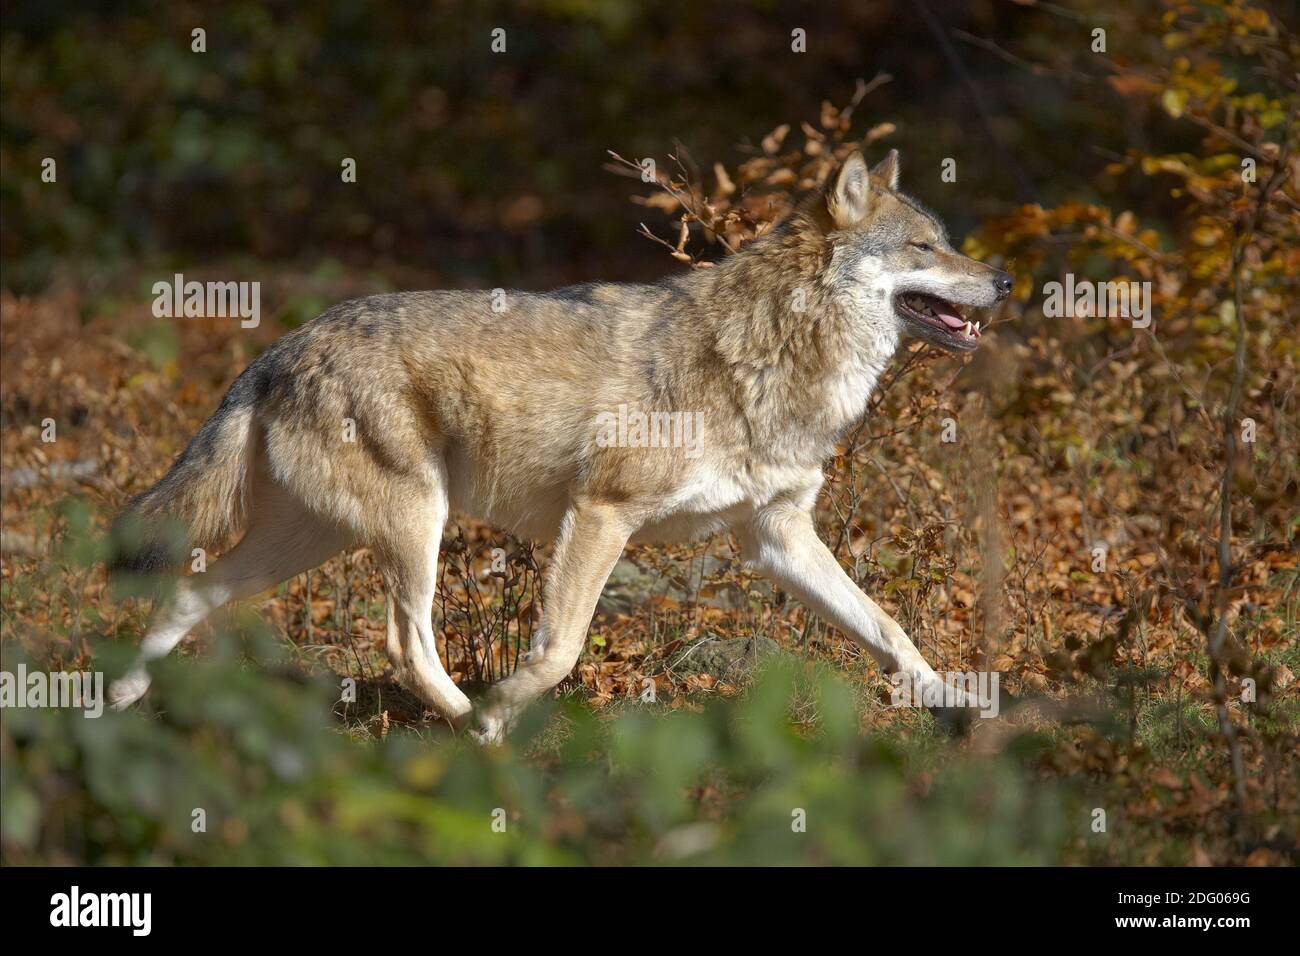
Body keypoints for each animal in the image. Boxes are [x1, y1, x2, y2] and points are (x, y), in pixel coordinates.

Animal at [108, 149, 1011, 742]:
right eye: (925, 247)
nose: (1003, 280)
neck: (773, 354)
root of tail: (280, 347)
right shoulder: (602, 512)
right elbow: (558, 648)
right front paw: (504, 708)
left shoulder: (777, 537)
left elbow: (892, 631)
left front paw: (960, 706)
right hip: (413, 524)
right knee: (406, 645)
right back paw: (476, 726)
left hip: (312, 540)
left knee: (188, 593)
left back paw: (114, 698)